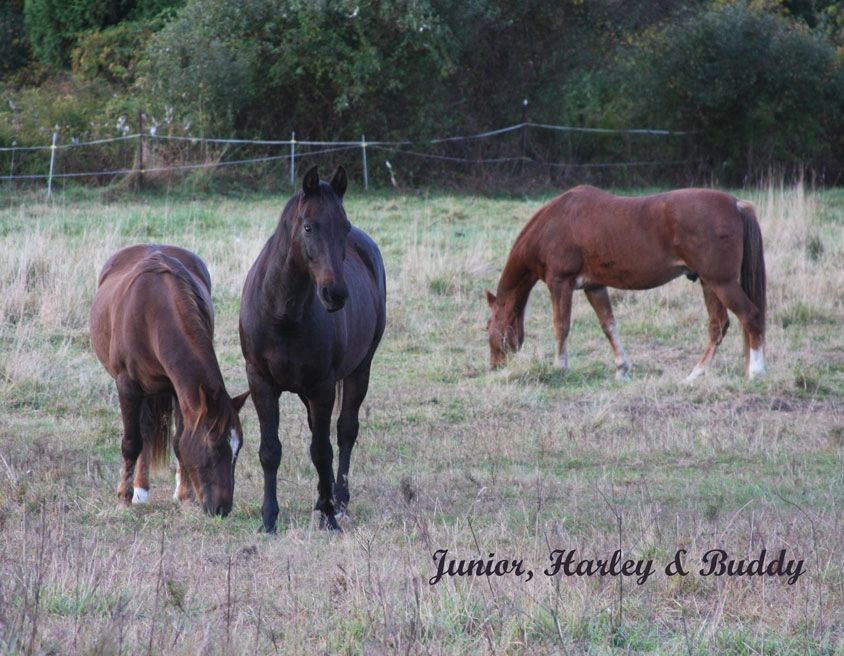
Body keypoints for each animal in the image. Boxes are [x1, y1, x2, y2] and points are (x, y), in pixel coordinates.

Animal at [90, 244, 249, 516]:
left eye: (237, 450)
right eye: (214, 447)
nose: (222, 509)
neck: (153, 309)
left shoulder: (179, 390)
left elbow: (179, 441)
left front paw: (185, 496)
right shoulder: (127, 387)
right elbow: (131, 442)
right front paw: (123, 498)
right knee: (143, 432)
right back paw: (139, 490)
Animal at [239, 165, 386, 533]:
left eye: (343, 227)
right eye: (308, 226)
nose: (335, 294)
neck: (282, 315)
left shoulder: (322, 387)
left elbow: (322, 450)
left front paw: (329, 517)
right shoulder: (261, 383)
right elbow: (270, 451)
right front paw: (268, 519)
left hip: (359, 370)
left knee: (345, 432)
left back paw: (339, 500)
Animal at [486, 185, 766, 381]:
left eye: (489, 327)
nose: (494, 367)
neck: (554, 224)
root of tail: (736, 204)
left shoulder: (560, 283)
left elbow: (561, 326)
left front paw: (560, 368)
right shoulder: (594, 287)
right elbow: (609, 326)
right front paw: (622, 369)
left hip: (722, 283)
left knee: (751, 316)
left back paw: (756, 373)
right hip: (709, 283)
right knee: (718, 326)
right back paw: (695, 375)